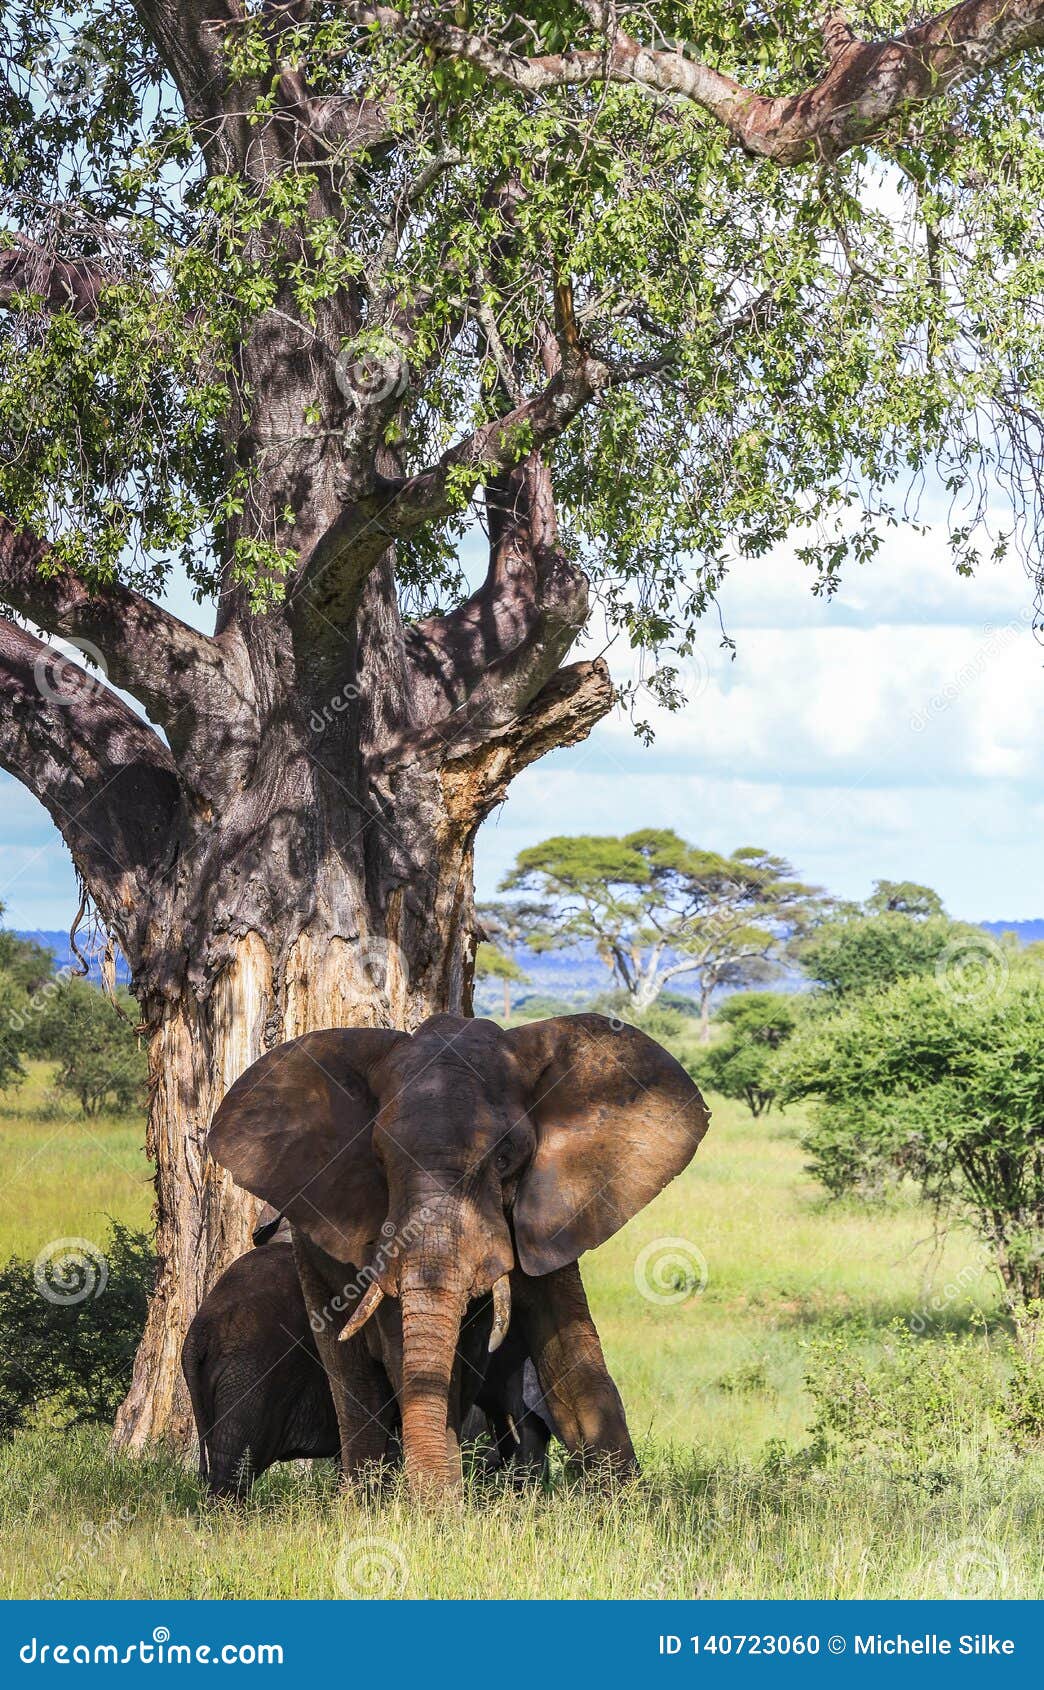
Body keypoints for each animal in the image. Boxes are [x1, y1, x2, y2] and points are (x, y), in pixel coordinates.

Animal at [208, 1011, 709, 1498]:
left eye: (505, 1159)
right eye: (380, 1160)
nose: (434, 1506)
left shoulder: (549, 1212)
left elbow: (567, 1348)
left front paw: (625, 1505)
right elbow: (407, 1351)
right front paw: (439, 1510)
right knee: (353, 1377)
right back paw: (366, 1502)